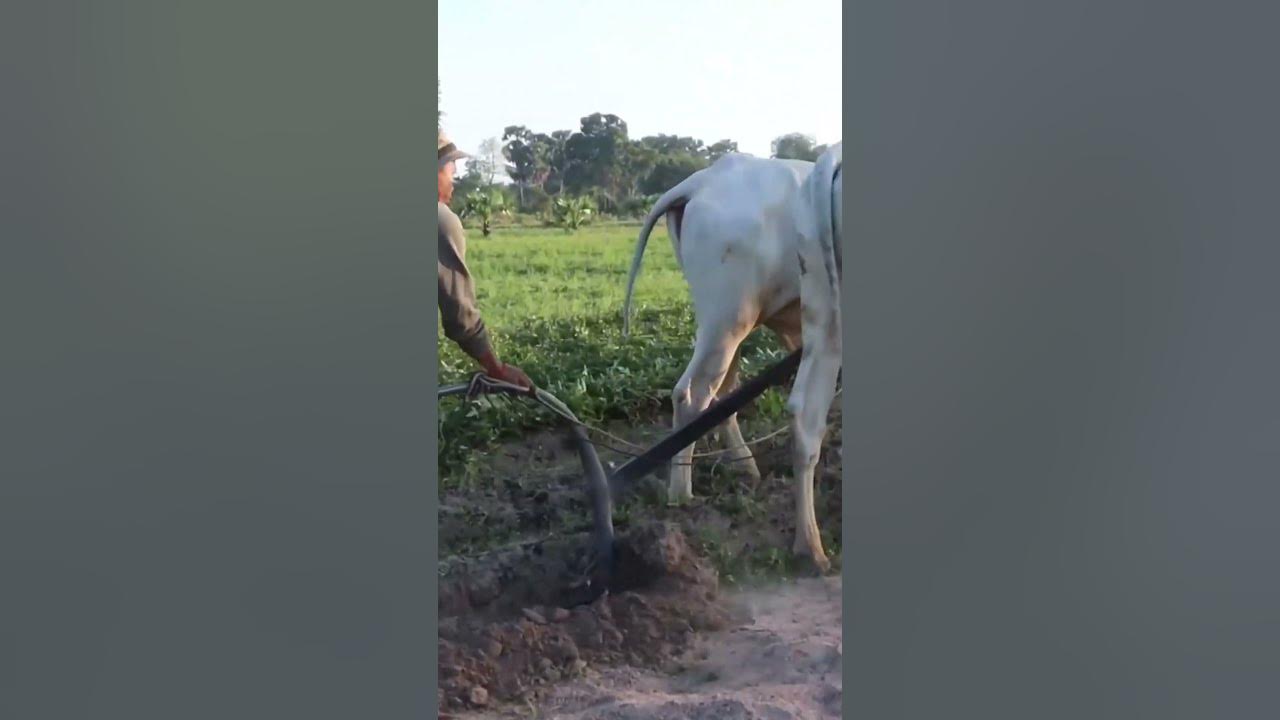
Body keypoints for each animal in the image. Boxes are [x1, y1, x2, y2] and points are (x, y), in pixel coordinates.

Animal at [621, 152, 814, 513]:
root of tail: (704, 179)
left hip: (728, 327)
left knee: (723, 396)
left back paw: (745, 466)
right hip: (727, 321)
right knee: (692, 397)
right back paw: (681, 492)